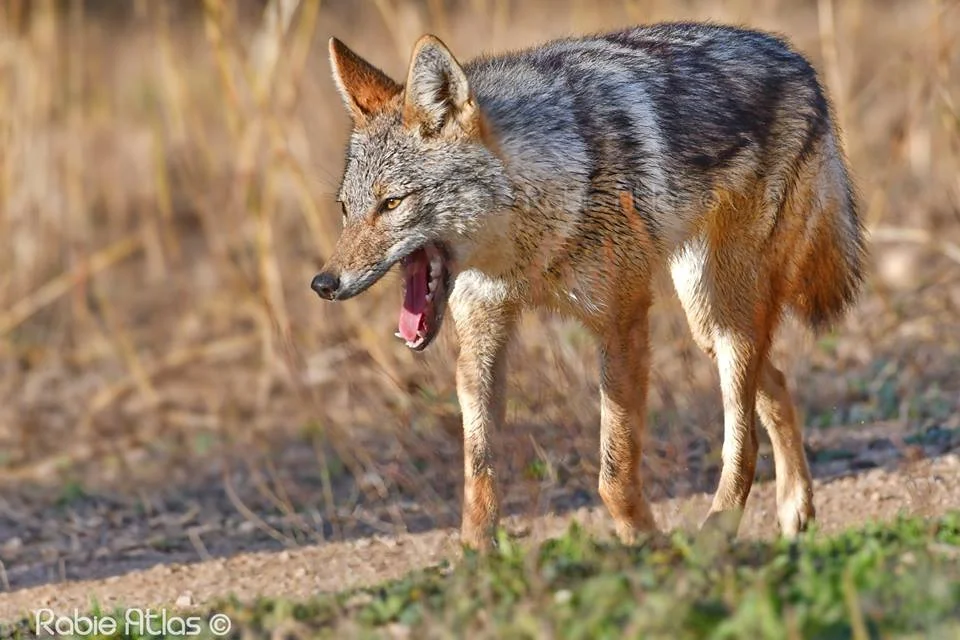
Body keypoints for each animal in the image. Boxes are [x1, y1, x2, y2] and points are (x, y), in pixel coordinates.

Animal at [311, 22, 866, 549]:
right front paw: (477, 558)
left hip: (724, 315)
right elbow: (479, 474)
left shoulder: (621, 323)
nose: (323, 283)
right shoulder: (482, 337)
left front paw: (646, 543)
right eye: (346, 209)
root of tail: (794, 58)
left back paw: (717, 533)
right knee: (776, 385)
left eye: (392, 203)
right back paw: (795, 510)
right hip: (709, 324)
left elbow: (613, 474)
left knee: (744, 437)